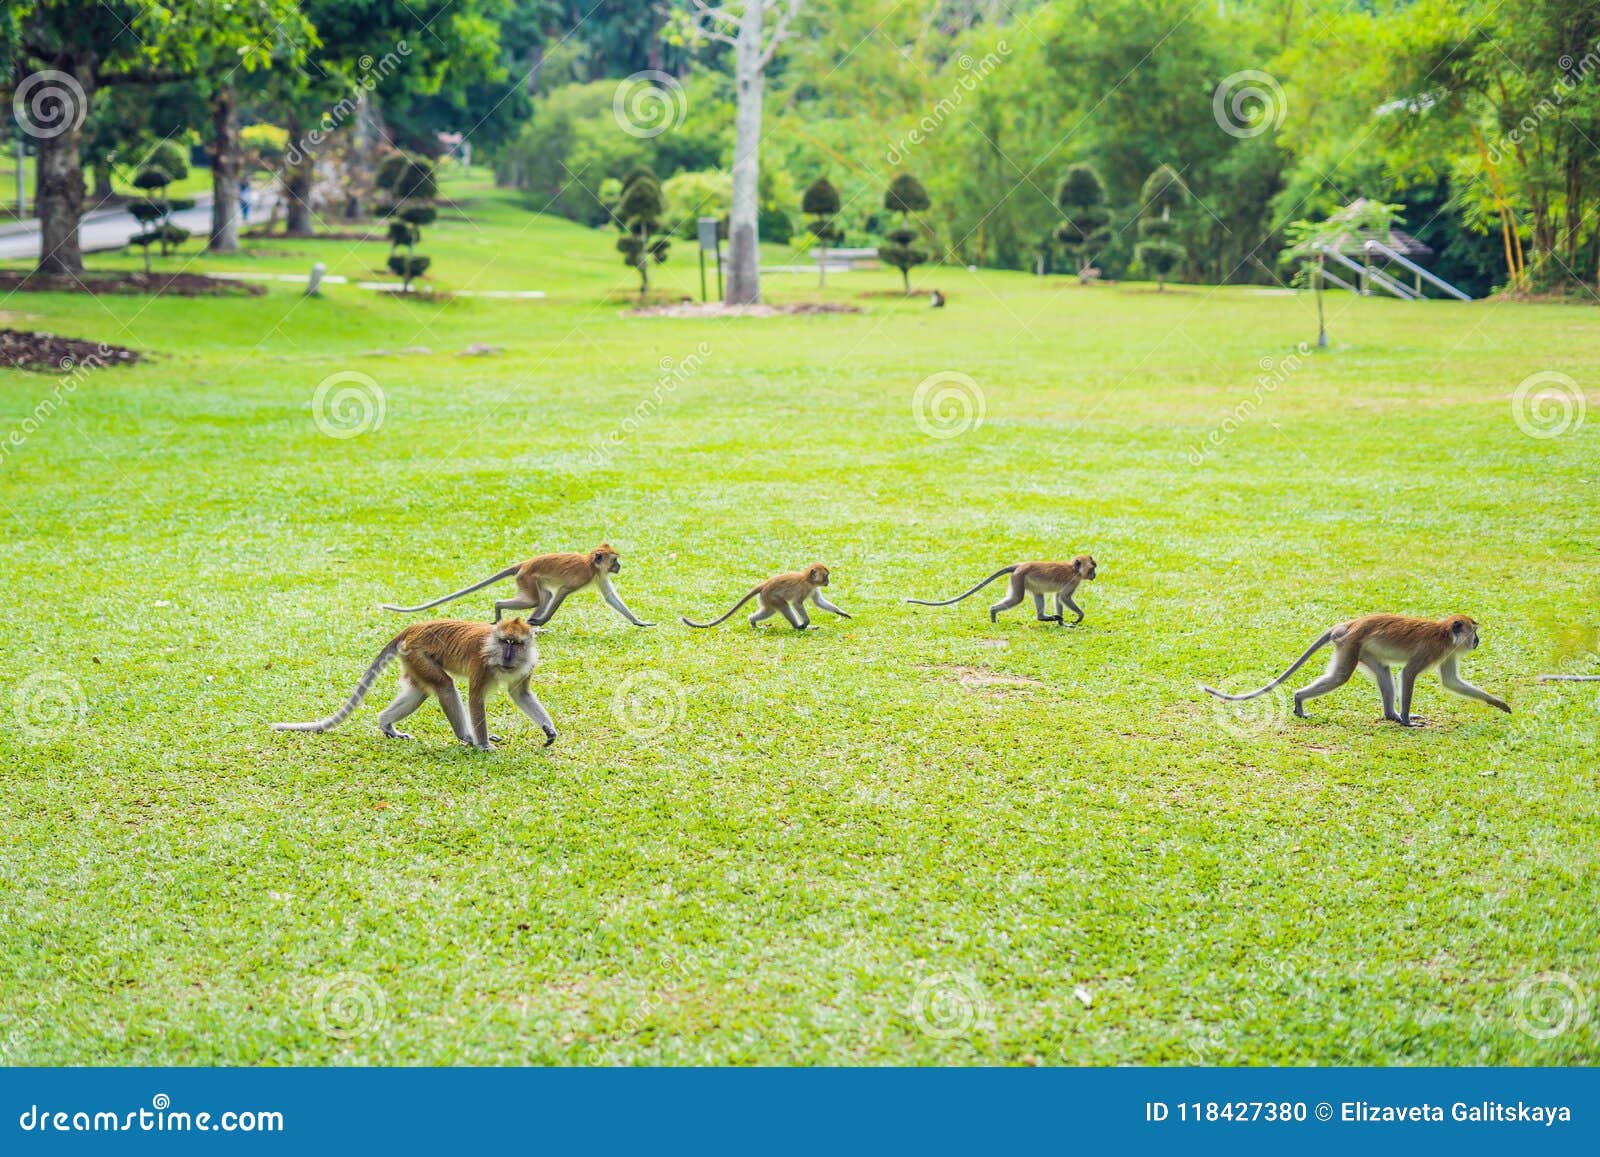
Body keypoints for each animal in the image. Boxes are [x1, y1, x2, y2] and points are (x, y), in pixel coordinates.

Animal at [271, 618, 556, 750]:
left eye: (516, 644)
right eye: (504, 642)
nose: (507, 657)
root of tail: (414, 628)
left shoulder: (528, 665)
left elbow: (520, 694)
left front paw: (549, 730)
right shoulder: (482, 664)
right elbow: (475, 698)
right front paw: (483, 744)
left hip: (412, 660)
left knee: (420, 690)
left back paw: (386, 724)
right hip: (418, 655)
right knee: (444, 686)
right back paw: (466, 737)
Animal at [381, 543, 653, 627]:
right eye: (615, 560)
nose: (619, 567)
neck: (591, 564)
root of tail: (524, 564)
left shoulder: (599, 575)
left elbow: (610, 598)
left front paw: (638, 621)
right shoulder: (585, 576)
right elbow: (562, 592)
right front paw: (543, 621)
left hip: (530, 580)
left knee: (542, 598)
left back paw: (530, 622)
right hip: (527, 579)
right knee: (536, 600)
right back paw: (502, 610)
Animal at [681, 564, 850, 630]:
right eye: (826, 576)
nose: (828, 582)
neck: (808, 580)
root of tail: (764, 585)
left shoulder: (813, 589)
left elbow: (818, 602)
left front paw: (841, 612)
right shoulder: (805, 588)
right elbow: (797, 604)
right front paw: (806, 622)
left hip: (765, 599)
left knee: (769, 611)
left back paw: (752, 621)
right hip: (770, 597)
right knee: (784, 607)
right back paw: (798, 627)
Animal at [905, 556, 1097, 625]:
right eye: (1093, 567)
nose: (1095, 575)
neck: (1074, 569)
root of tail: (1020, 565)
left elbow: (1058, 597)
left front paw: (1062, 623)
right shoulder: (1074, 580)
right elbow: (1064, 597)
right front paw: (1079, 616)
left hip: (1022, 578)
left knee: (1038, 593)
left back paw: (1042, 617)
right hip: (1018, 578)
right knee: (1017, 598)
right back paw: (993, 613)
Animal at [1202, 613, 1511, 727]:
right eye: (1473, 633)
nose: (1477, 641)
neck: (1445, 633)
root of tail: (1348, 625)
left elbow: (1451, 682)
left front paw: (1497, 702)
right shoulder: (1433, 650)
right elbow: (1409, 674)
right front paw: (1407, 720)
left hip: (1362, 650)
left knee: (1383, 671)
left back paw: (1390, 715)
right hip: (1350, 646)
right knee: (1342, 677)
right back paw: (1300, 699)